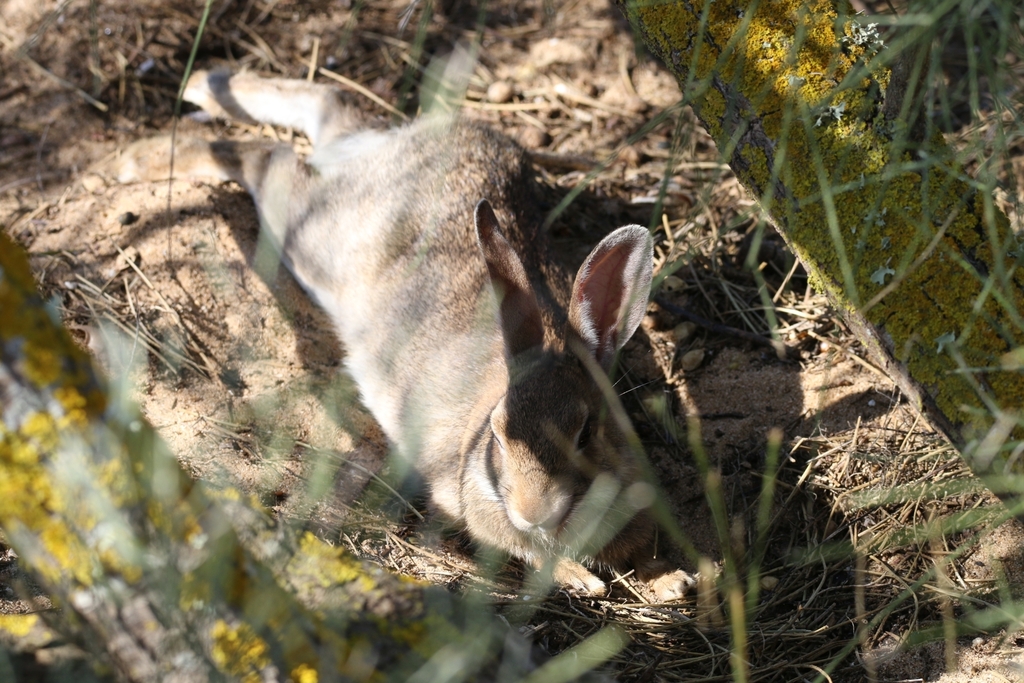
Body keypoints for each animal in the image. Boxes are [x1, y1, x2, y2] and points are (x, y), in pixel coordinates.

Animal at [116, 67, 694, 601]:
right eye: (498, 433)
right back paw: (147, 152)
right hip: (315, 239)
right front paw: (583, 580)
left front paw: (675, 582)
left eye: (586, 431)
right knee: (269, 155)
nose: (533, 511)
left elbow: (646, 553)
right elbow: (522, 550)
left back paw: (204, 86)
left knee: (326, 108)